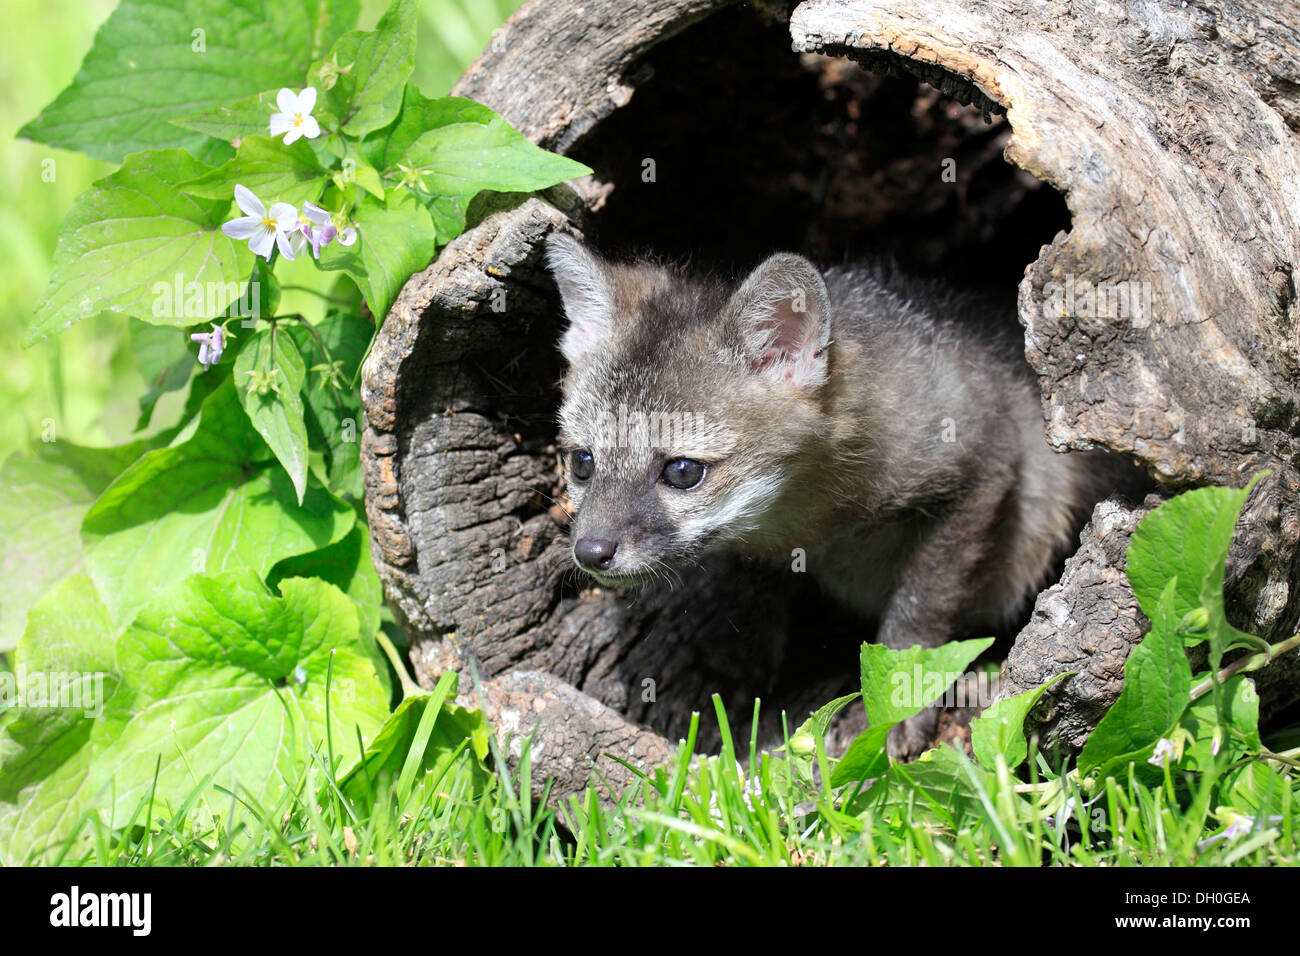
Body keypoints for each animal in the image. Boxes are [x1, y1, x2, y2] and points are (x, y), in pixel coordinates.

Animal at [546, 233, 1144, 757]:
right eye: (582, 462)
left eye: (683, 471)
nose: (590, 553)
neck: (825, 525)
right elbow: (755, 612)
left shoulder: (983, 470)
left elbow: (916, 615)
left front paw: (900, 707)